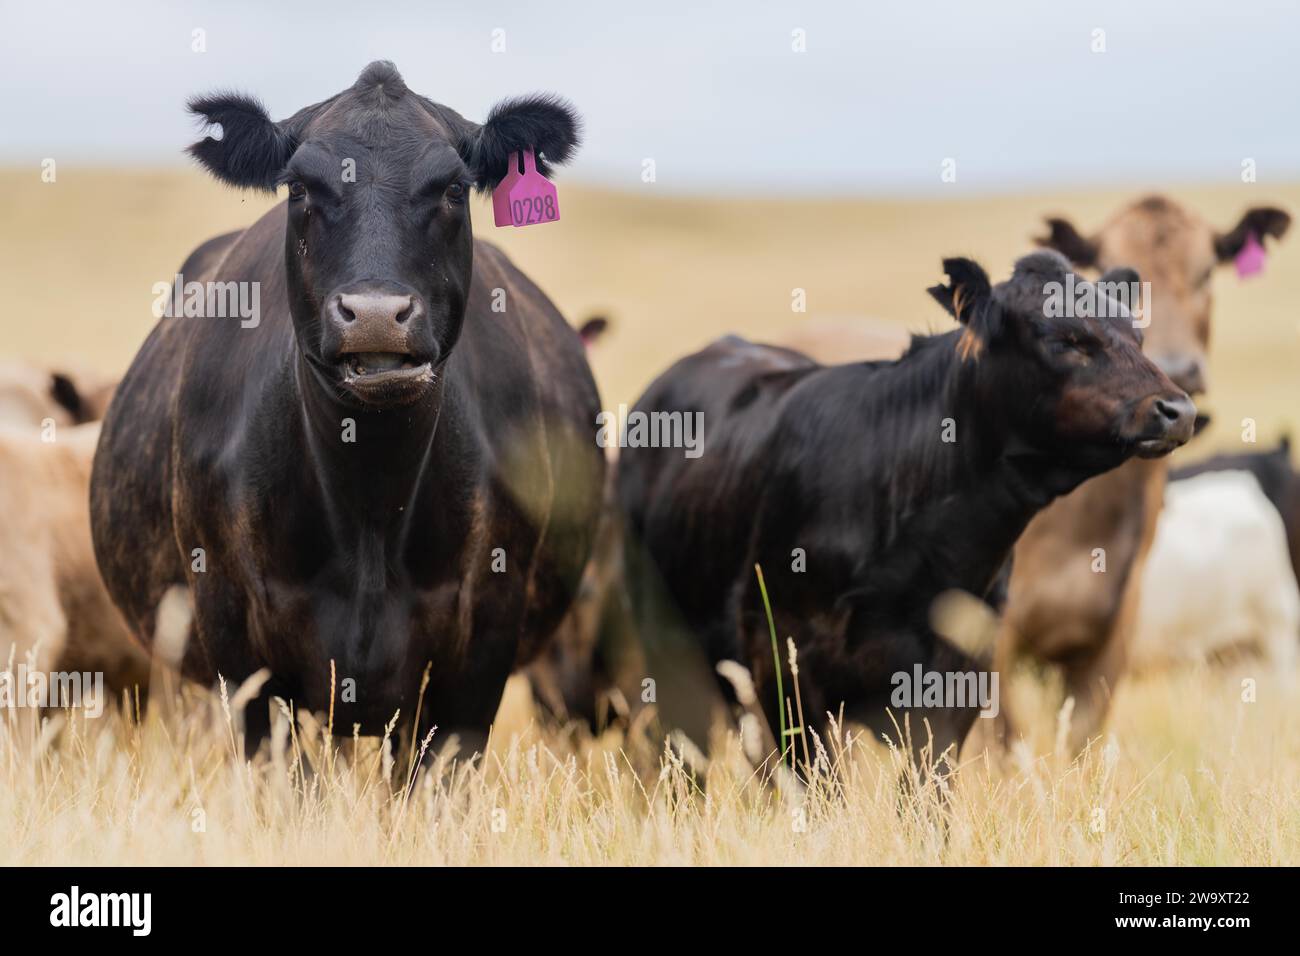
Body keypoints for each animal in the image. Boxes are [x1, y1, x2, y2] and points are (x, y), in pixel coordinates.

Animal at [89, 62, 605, 758]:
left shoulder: (482, 646)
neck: (369, 507)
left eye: (453, 188)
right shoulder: (235, 636)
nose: (377, 314)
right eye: (300, 188)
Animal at [615, 251, 1195, 777]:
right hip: (670, 655)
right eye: (1065, 340)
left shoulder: (958, 680)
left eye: (1138, 339)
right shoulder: (783, 668)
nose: (1178, 410)